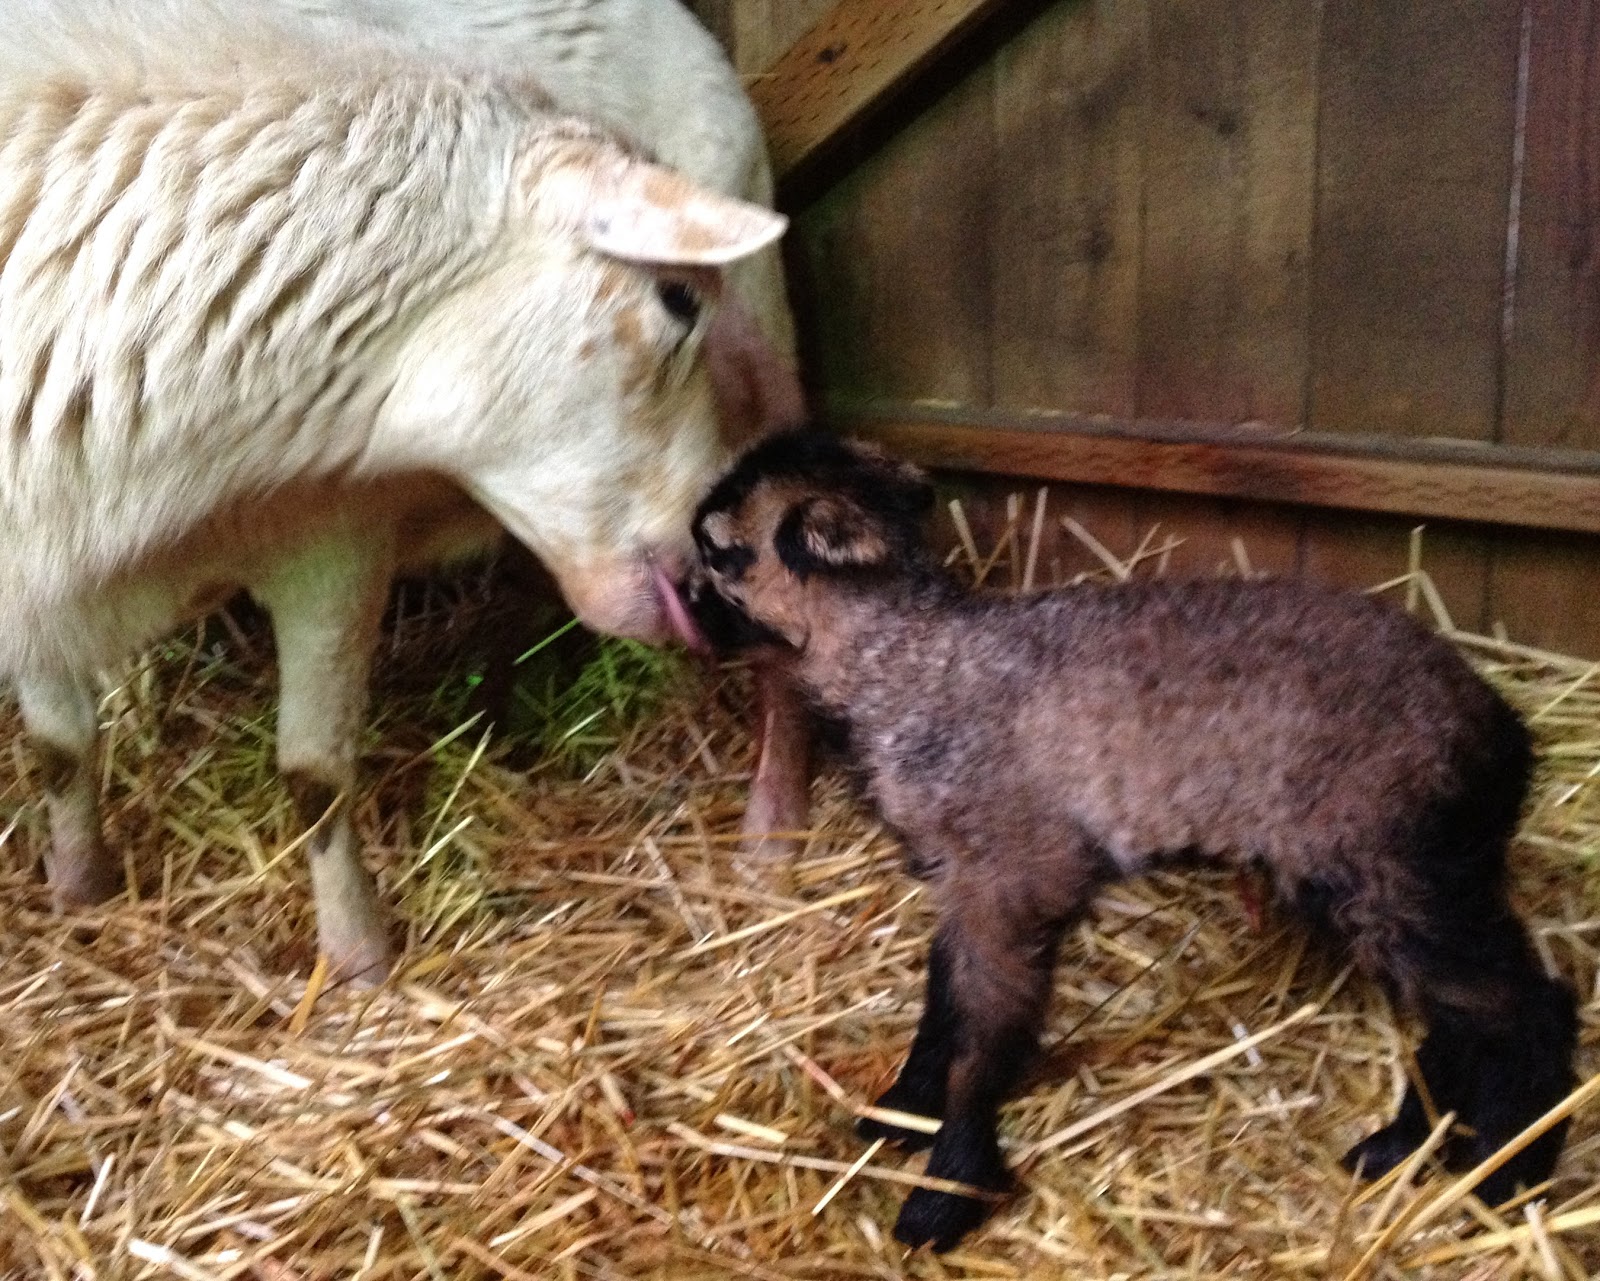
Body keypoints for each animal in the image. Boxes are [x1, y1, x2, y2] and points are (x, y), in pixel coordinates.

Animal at [2, 0, 785, 980]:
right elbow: (59, 748)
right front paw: (79, 882)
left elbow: (315, 774)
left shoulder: (337, 538)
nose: (697, 543)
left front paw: (360, 956)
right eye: (676, 298)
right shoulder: (35, 566)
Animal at [685, 430, 1580, 1251]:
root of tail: (1507, 735)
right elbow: (942, 1004)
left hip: (1392, 859)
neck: (908, 662)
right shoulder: (963, 877)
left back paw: (1508, 1175)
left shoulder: (1012, 874)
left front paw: (944, 1195)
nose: (682, 605)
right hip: (1396, 872)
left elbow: (981, 1040)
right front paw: (900, 1112)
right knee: (1463, 1015)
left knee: (1525, 1005)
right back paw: (1400, 1146)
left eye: (722, 550)